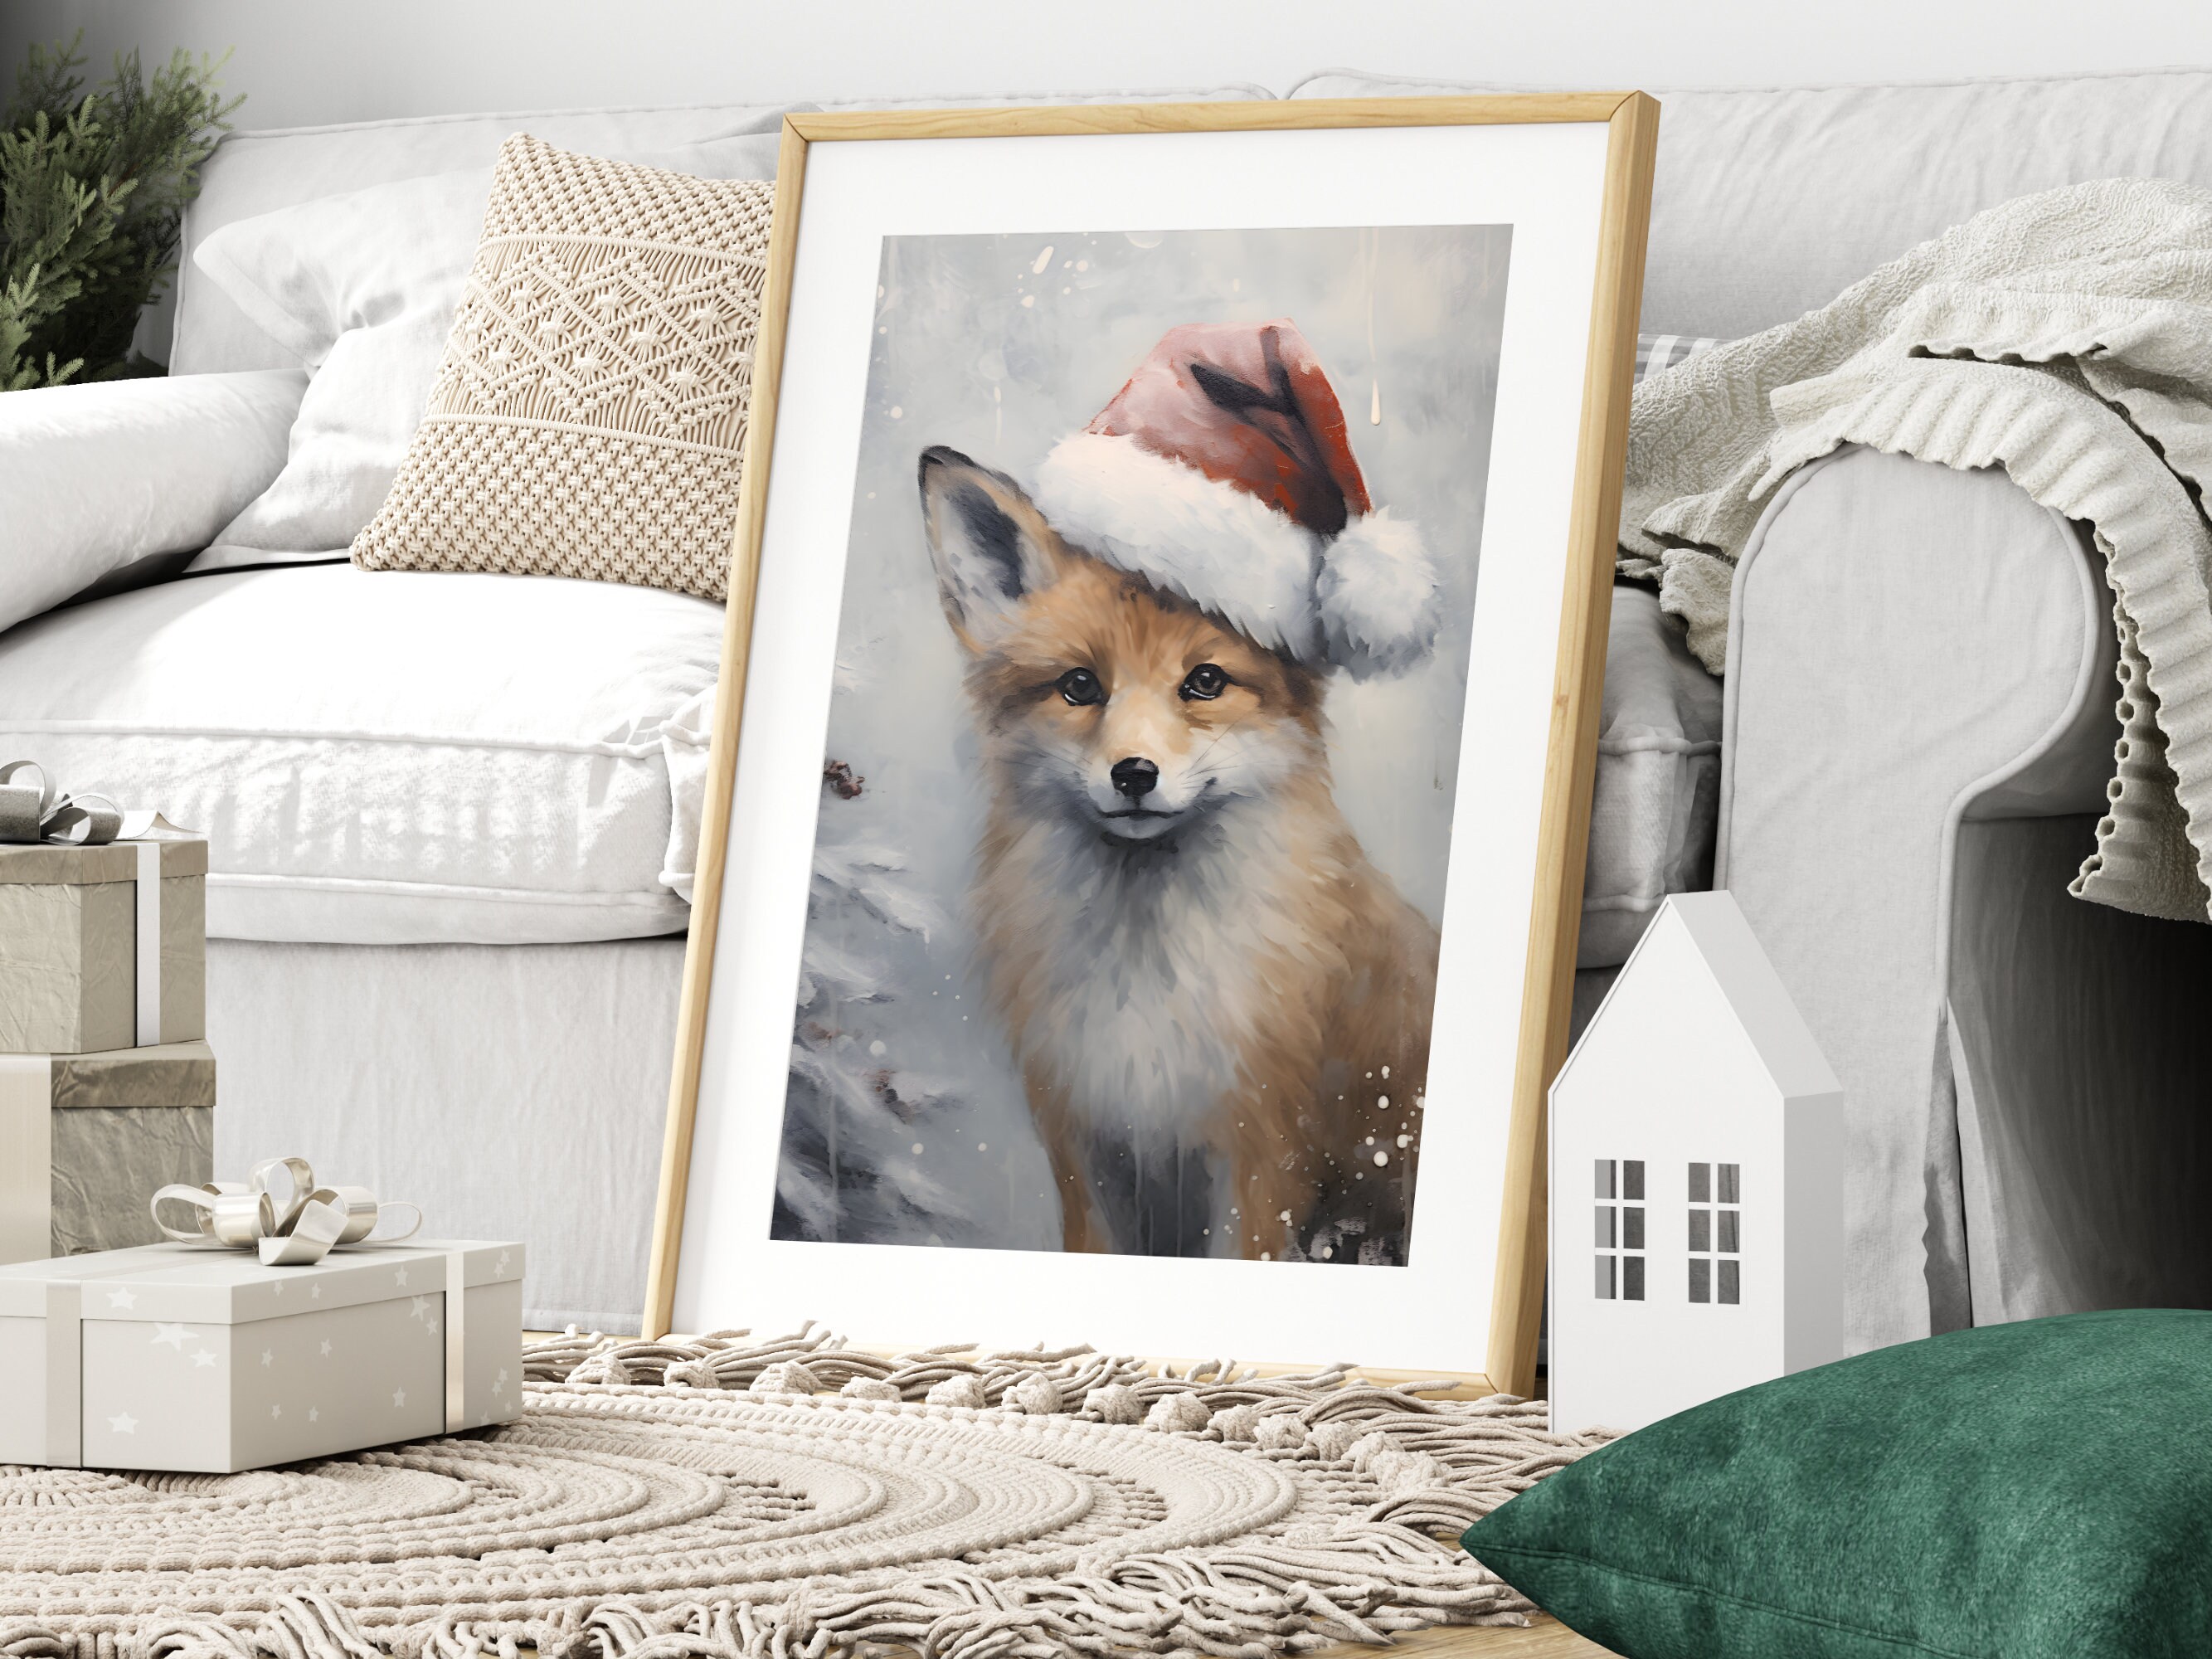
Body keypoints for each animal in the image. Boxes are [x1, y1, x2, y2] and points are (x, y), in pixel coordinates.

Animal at [917, 444, 1441, 1263]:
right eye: (1079, 685)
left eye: (1204, 681)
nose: (1134, 774)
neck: (1147, 978)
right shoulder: (1087, 1145)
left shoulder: (1256, 1152)